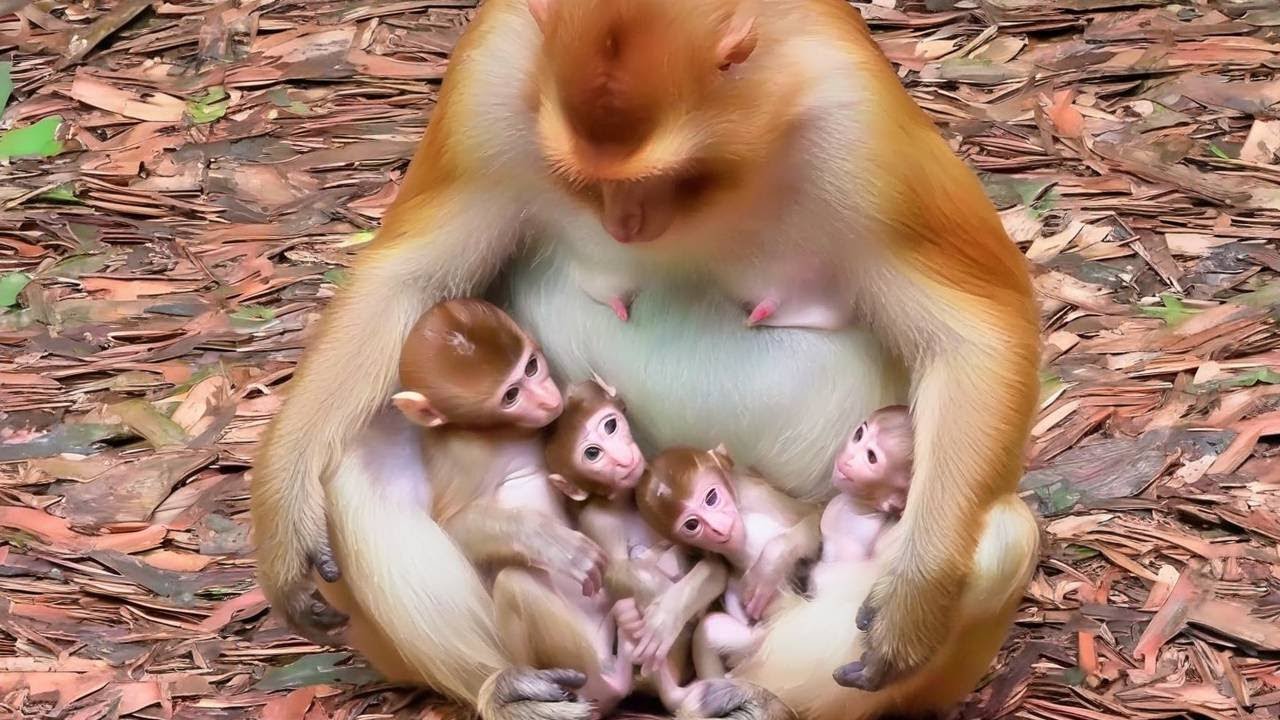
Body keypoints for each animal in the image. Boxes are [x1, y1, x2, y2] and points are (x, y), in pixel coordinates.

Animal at [390, 299, 634, 715]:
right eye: (511, 395)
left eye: (531, 366)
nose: (548, 398)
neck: (499, 432)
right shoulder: (459, 455)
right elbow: (452, 527)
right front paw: (549, 543)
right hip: (580, 654)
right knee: (515, 584)